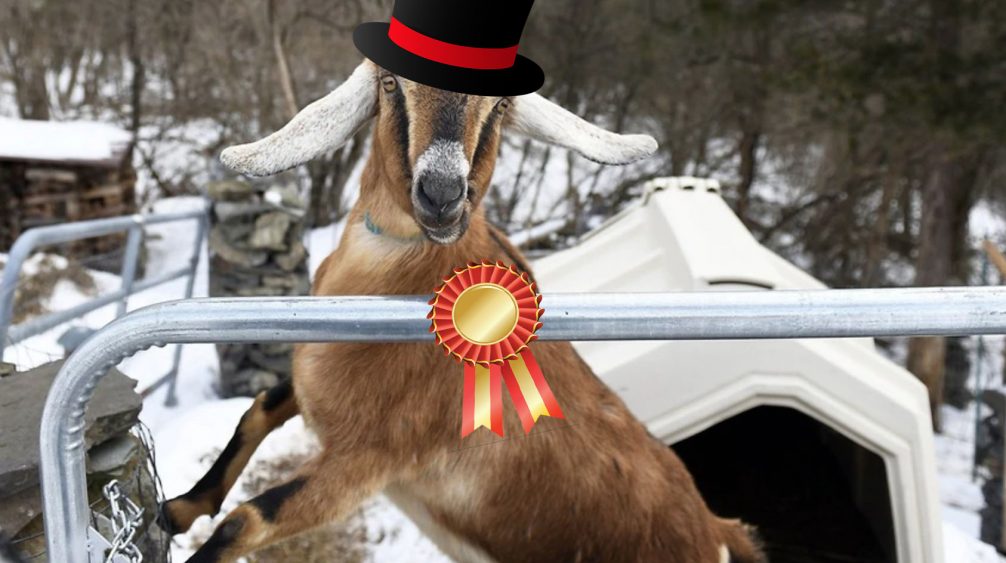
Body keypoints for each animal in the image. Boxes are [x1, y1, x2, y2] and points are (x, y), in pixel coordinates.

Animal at [162, 60, 765, 563]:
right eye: (390, 84)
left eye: (499, 105)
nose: (442, 195)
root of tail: (715, 531)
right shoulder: (314, 389)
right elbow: (259, 408)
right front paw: (178, 509)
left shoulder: (367, 460)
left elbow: (245, 523)